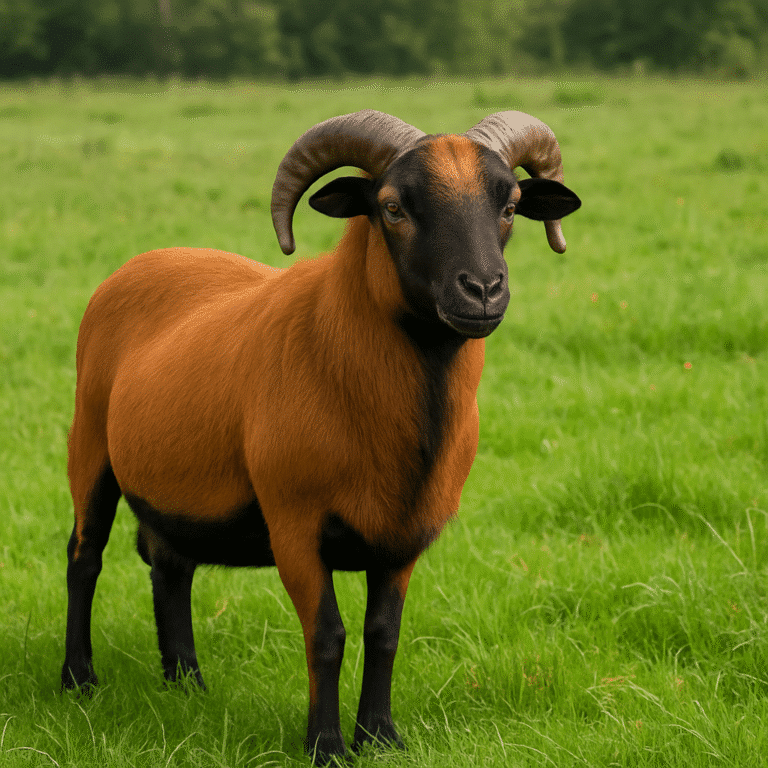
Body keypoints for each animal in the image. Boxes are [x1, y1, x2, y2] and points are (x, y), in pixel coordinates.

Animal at [61, 109, 581, 761]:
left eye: (510, 205)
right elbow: (327, 636)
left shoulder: (404, 534)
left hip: (171, 486)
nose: (483, 290)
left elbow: (384, 634)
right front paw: (326, 746)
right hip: (89, 446)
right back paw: (78, 681)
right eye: (392, 207)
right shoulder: (294, 525)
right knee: (84, 557)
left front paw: (381, 737)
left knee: (170, 567)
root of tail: (147, 258)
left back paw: (186, 683)